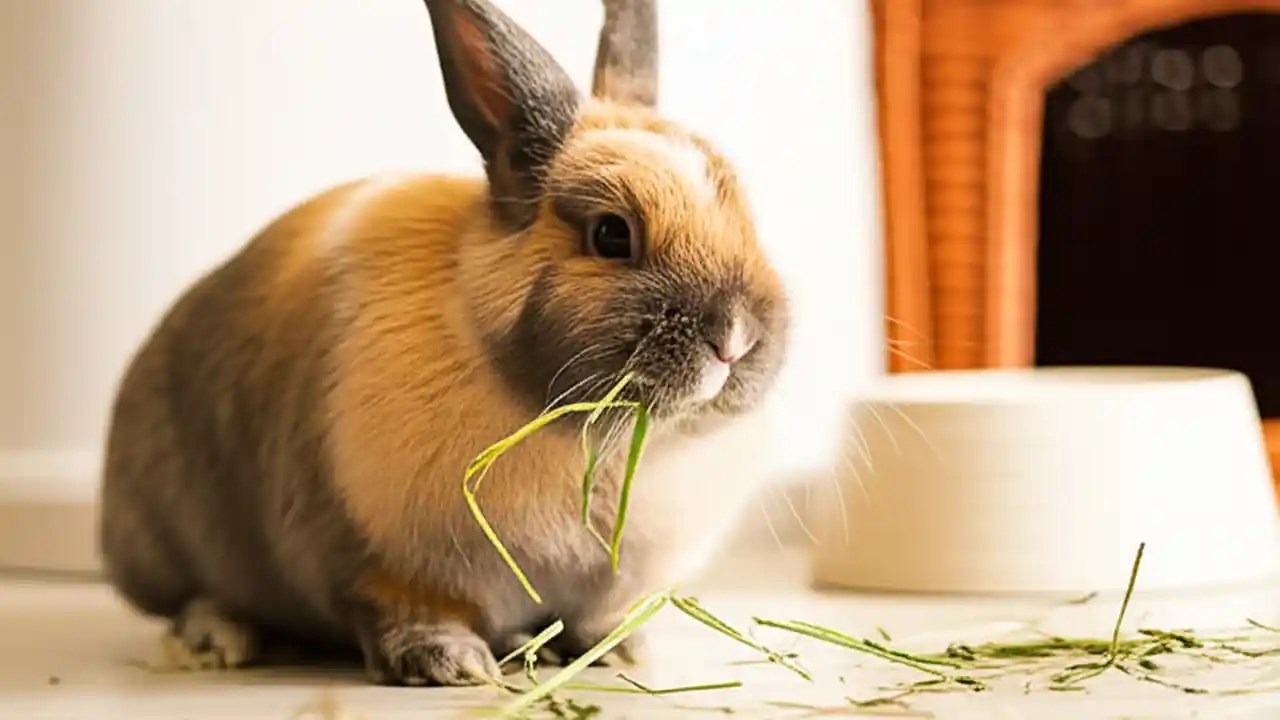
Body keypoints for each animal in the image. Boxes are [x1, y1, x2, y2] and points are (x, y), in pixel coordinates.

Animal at [99, 0, 790, 687]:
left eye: (746, 217)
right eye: (612, 235)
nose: (735, 339)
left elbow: (595, 622)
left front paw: (620, 651)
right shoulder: (383, 565)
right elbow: (406, 612)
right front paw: (450, 665)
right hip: (169, 534)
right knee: (191, 596)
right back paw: (216, 640)